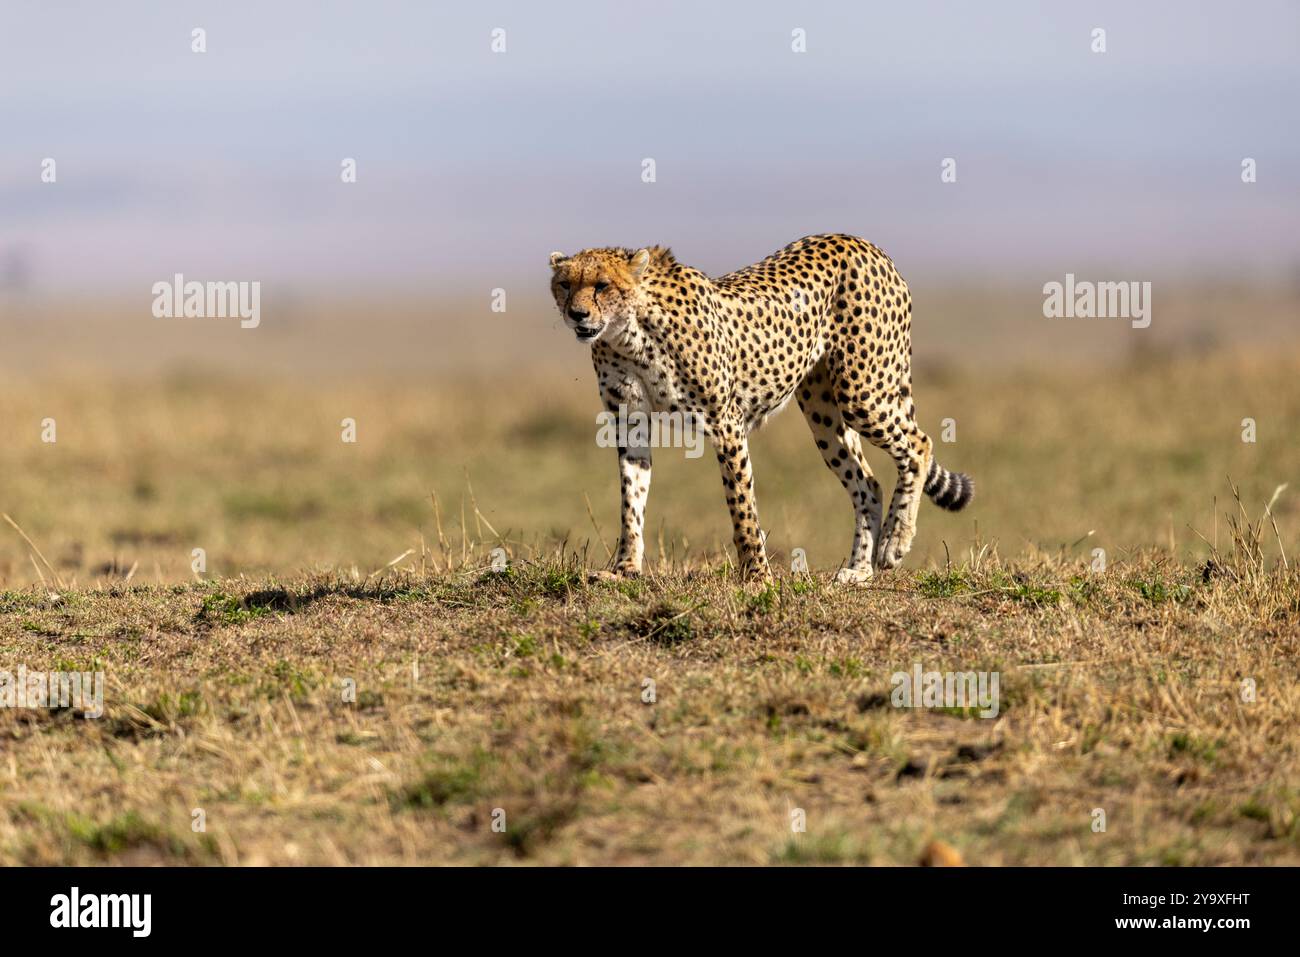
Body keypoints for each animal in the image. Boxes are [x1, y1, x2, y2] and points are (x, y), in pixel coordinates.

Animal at [547, 233, 973, 584]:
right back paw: (859, 571)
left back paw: (894, 543)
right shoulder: (629, 420)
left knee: (919, 445)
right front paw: (624, 569)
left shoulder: (725, 422)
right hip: (824, 413)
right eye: (565, 285)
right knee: (867, 483)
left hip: (863, 392)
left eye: (602, 285)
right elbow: (631, 499)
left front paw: (756, 575)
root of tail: (859, 240)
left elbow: (741, 503)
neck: (628, 332)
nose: (577, 314)